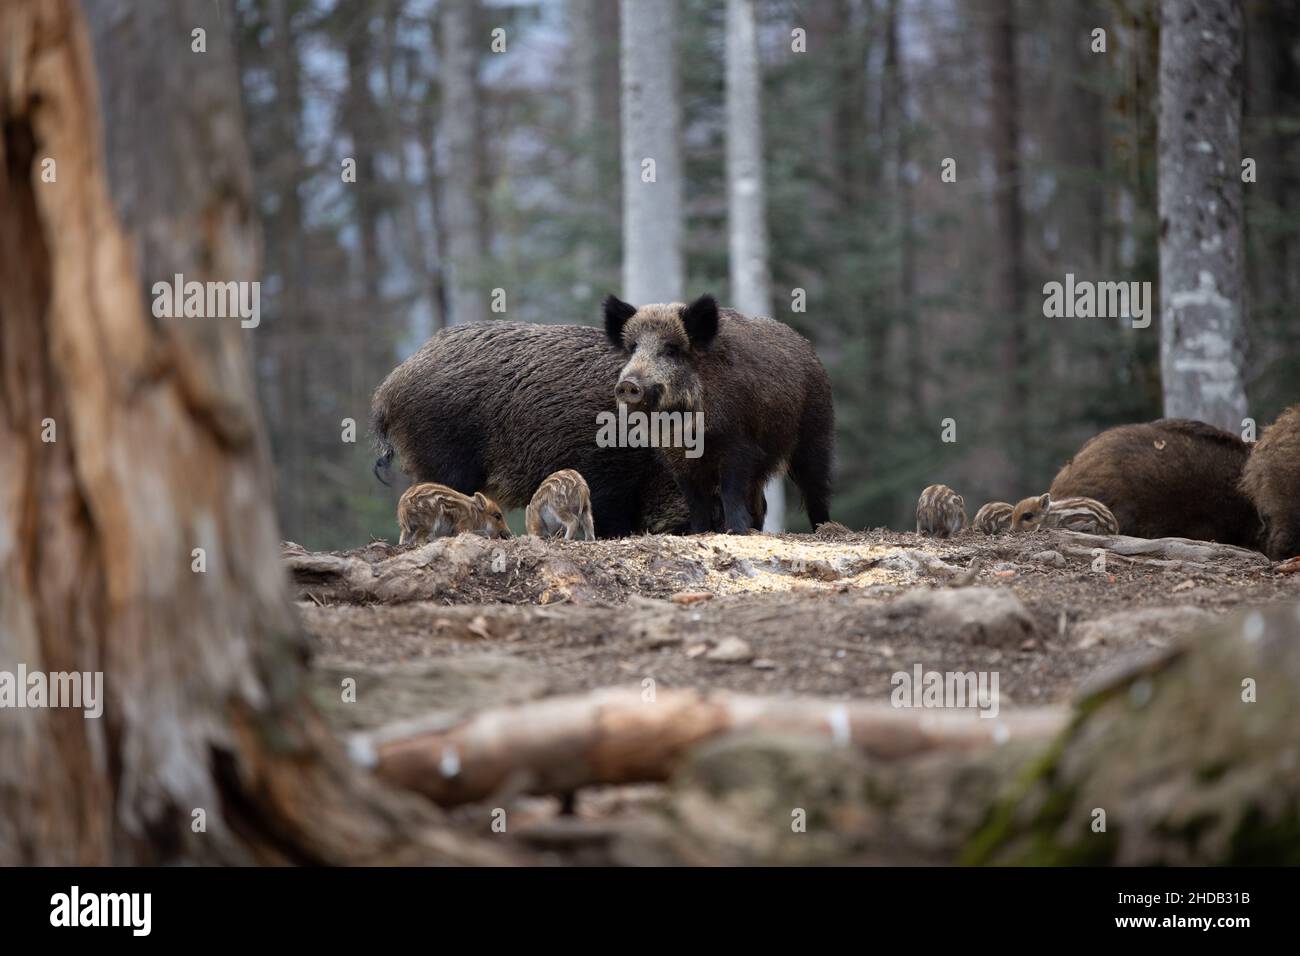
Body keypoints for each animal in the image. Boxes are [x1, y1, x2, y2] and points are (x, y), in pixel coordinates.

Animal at [604, 294, 834, 533]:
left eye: (671, 350)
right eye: (633, 348)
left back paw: (825, 529)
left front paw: (736, 531)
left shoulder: (738, 445)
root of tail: (809, 349)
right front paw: (699, 532)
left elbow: (730, 491)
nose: (628, 384)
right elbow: (696, 500)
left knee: (815, 486)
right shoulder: (676, 458)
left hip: (816, 432)